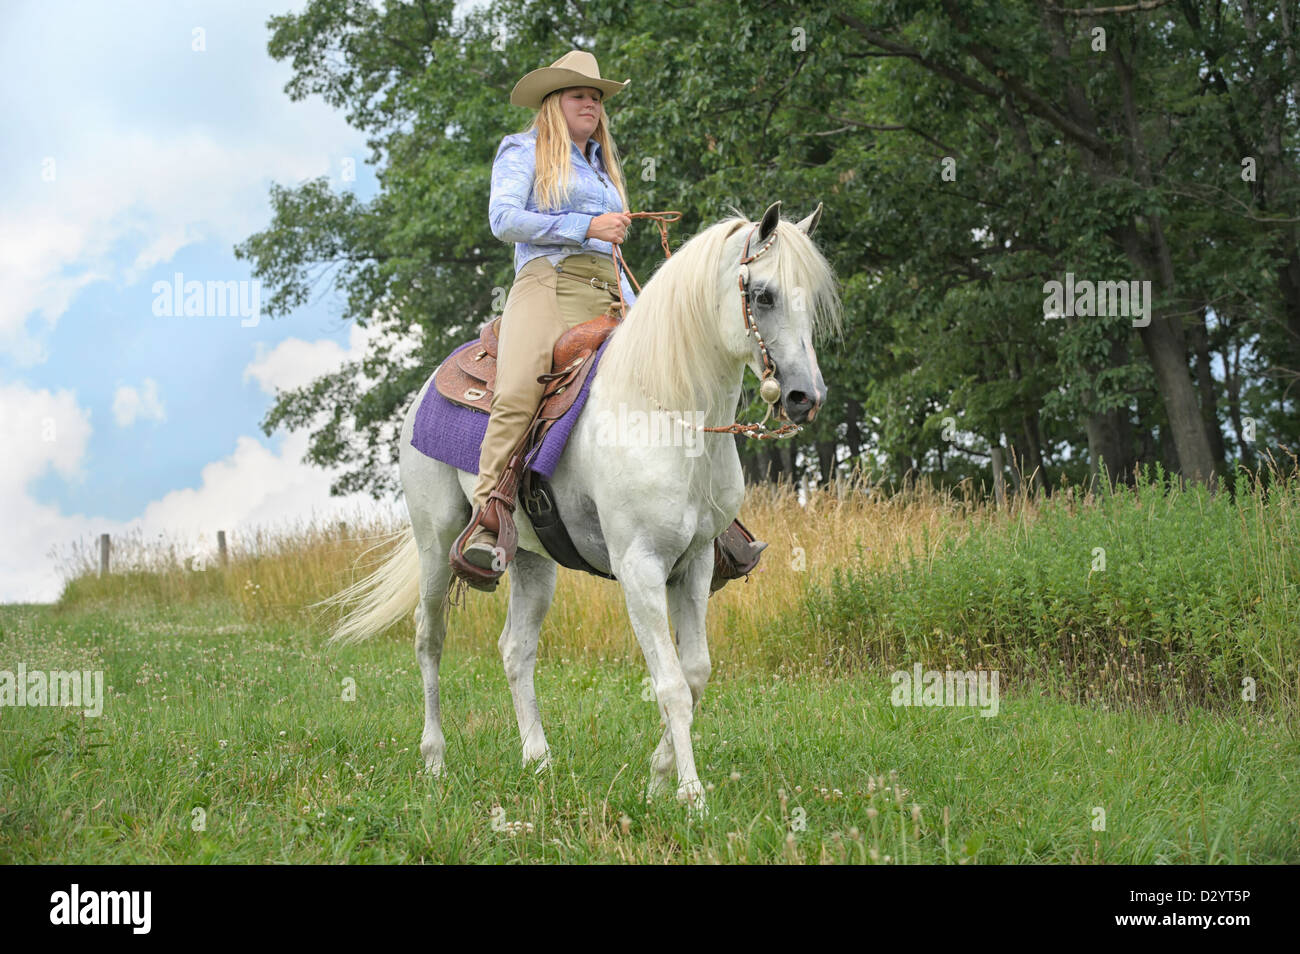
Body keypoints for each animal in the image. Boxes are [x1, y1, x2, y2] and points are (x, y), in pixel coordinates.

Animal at [320, 200, 842, 812]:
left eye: (812, 295)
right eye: (762, 294)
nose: (805, 398)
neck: (665, 408)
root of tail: (430, 384)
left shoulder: (694, 564)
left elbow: (694, 674)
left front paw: (658, 777)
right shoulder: (640, 566)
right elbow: (670, 683)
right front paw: (690, 795)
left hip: (530, 559)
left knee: (515, 650)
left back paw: (538, 760)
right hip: (435, 540)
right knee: (430, 639)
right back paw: (435, 762)